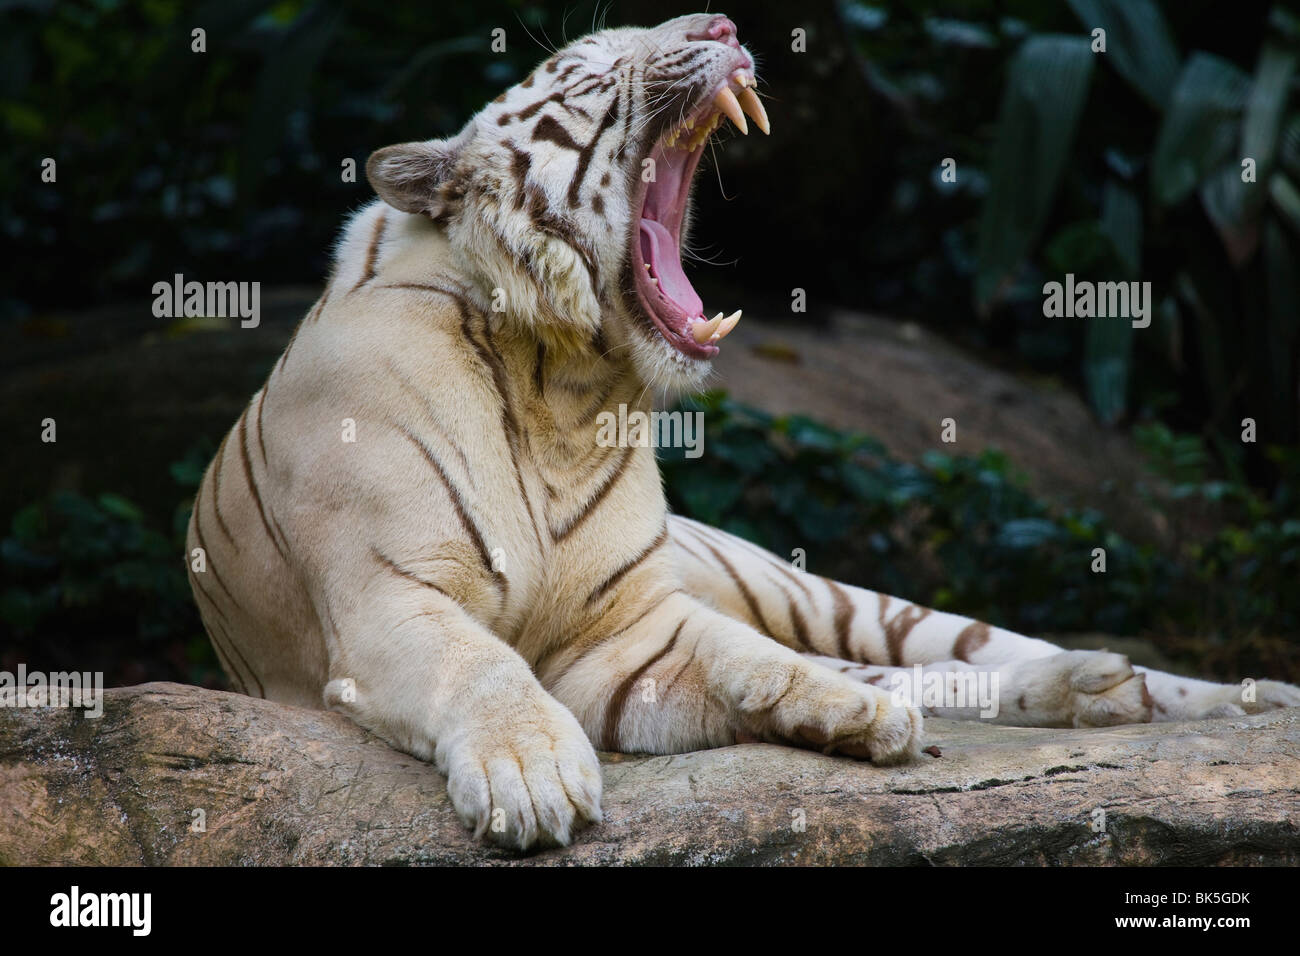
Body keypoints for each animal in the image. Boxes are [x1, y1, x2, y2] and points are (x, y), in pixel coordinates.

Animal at [185, 13, 1300, 851]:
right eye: (589, 63)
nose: (721, 23)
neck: (562, 388)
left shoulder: (627, 627)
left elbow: (738, 650)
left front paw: (841, 712)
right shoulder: (393, 601)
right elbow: (487, 667)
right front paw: (533, 776)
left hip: (813, 586)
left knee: (973, 643)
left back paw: (1202, 690)